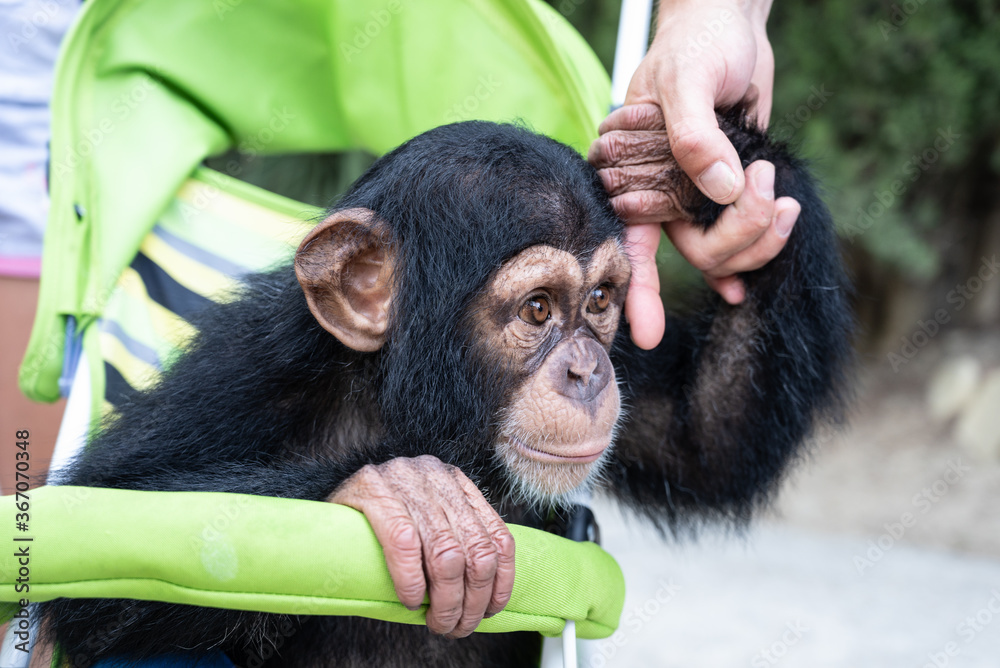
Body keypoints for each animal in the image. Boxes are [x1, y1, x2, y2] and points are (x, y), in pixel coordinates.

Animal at [39, 111, 852, 668]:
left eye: (598, 303)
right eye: (538, 309)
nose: (587, 371)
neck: (410, 406)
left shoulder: (633, 362)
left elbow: (705, 438)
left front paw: (709, 167)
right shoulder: (243, 373)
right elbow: (104, 532)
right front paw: (408, 494)